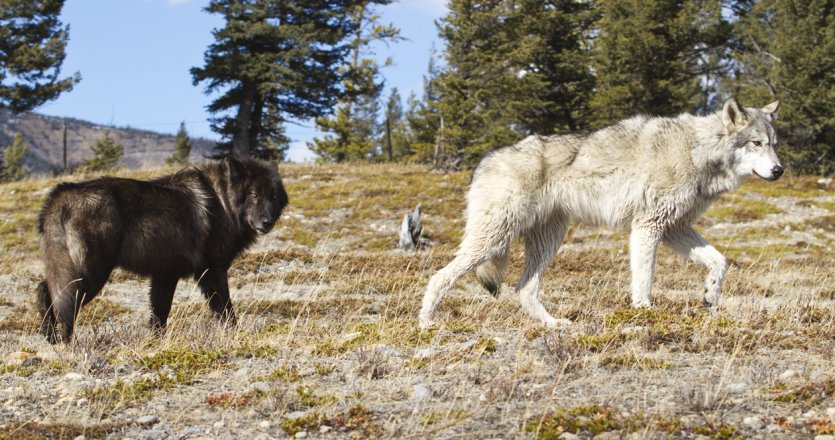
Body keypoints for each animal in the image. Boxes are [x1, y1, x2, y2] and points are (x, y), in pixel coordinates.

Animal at [36, 157, 288, 343]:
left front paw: (157, 343)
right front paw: (236, 334)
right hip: (92, 276)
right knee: (59, 299)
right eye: (253, 195)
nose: (267, 222)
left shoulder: (165, 275)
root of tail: (59, 197)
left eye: (273, 196)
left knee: (42, 290)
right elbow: (226, 310)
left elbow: (160, 314)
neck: (222, 202)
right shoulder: (212, 272)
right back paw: (66, 341)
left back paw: (51, 340)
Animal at [419, 97, 782, 329]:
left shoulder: (674, 228)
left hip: (548, 240)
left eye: (775, 144)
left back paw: (554, 325)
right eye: (756, 143)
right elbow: (644, 279)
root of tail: (484, 161)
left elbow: (720, 261)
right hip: (494, 239)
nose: (779, 170)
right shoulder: (648, 225)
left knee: (524, 290)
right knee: (439, 276)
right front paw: (645, 314)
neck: (699, 151)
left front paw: (709, 296)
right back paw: (425, 323)